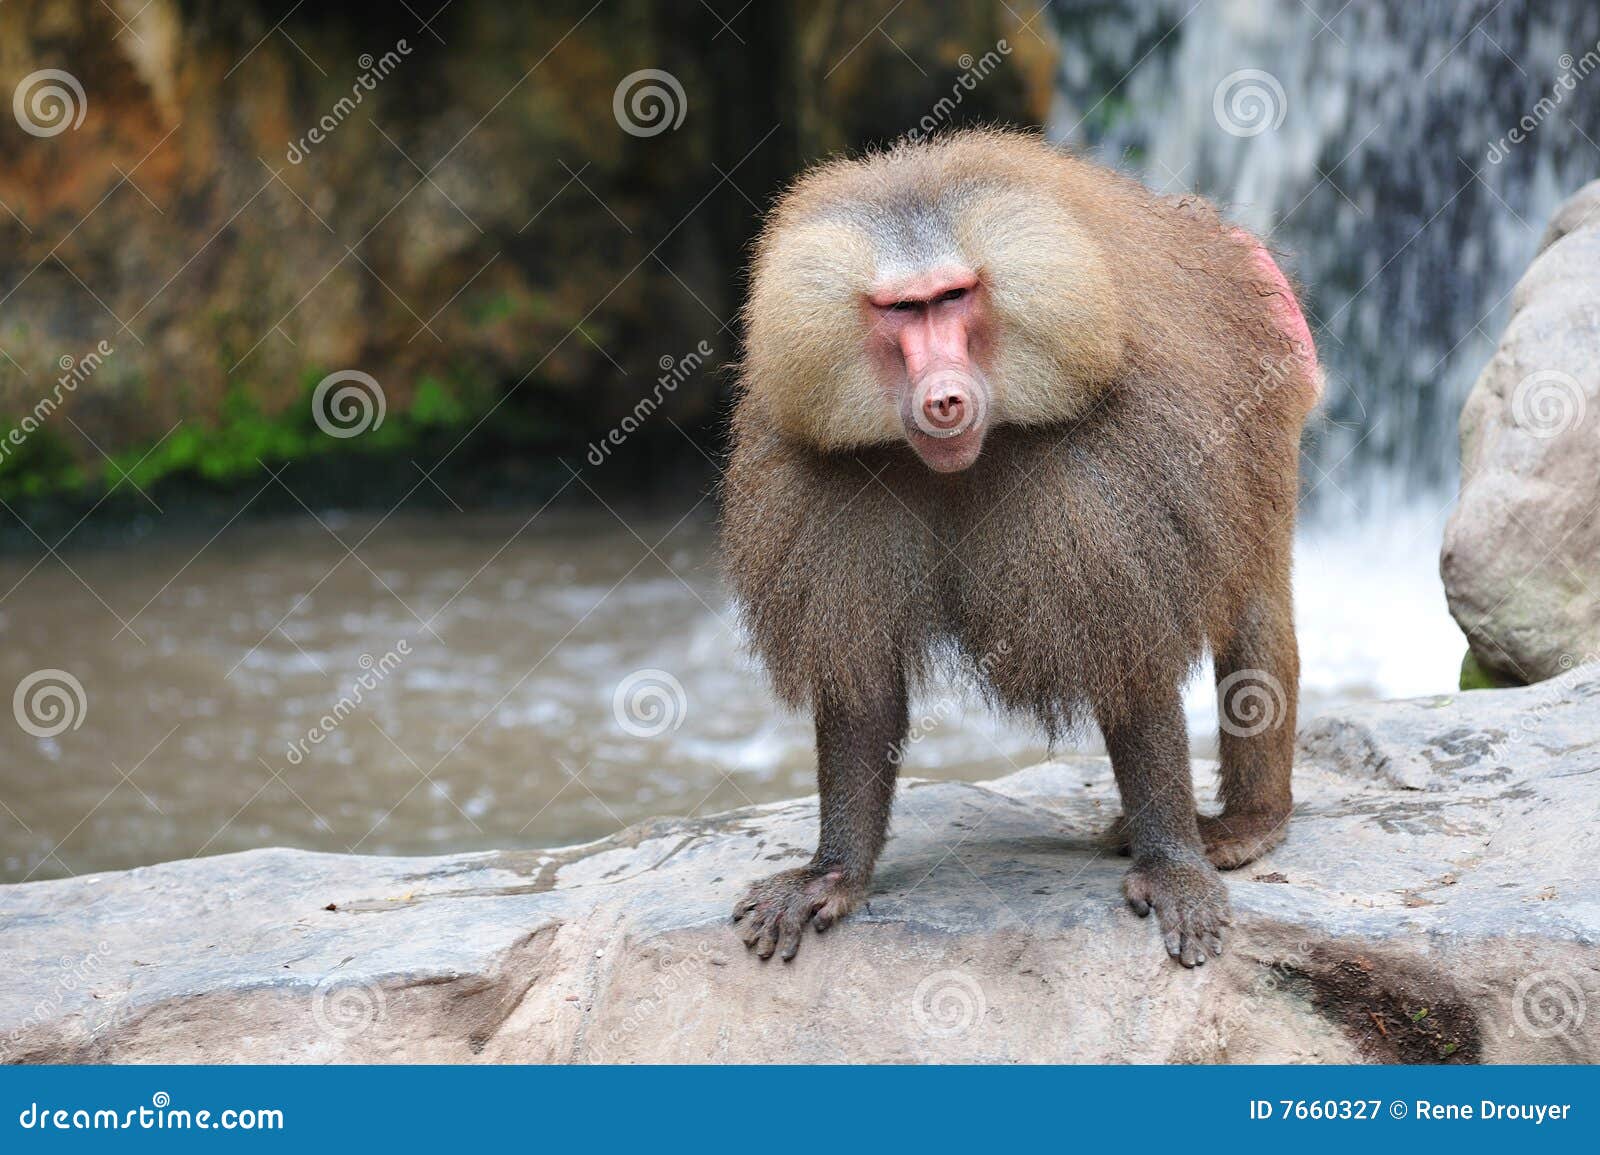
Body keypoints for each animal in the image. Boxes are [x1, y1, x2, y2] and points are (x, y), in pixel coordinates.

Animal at [721, 128, 1320, 967]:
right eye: (901, 310)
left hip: (1271, 378)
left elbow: (1131, 662)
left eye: (954, 297)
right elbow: (861, 686)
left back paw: (1246, 825)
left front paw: (1174, 865)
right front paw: (829, 874)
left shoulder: (1110, 473)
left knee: (1255, 604)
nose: (943, 397)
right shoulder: (825, 485)